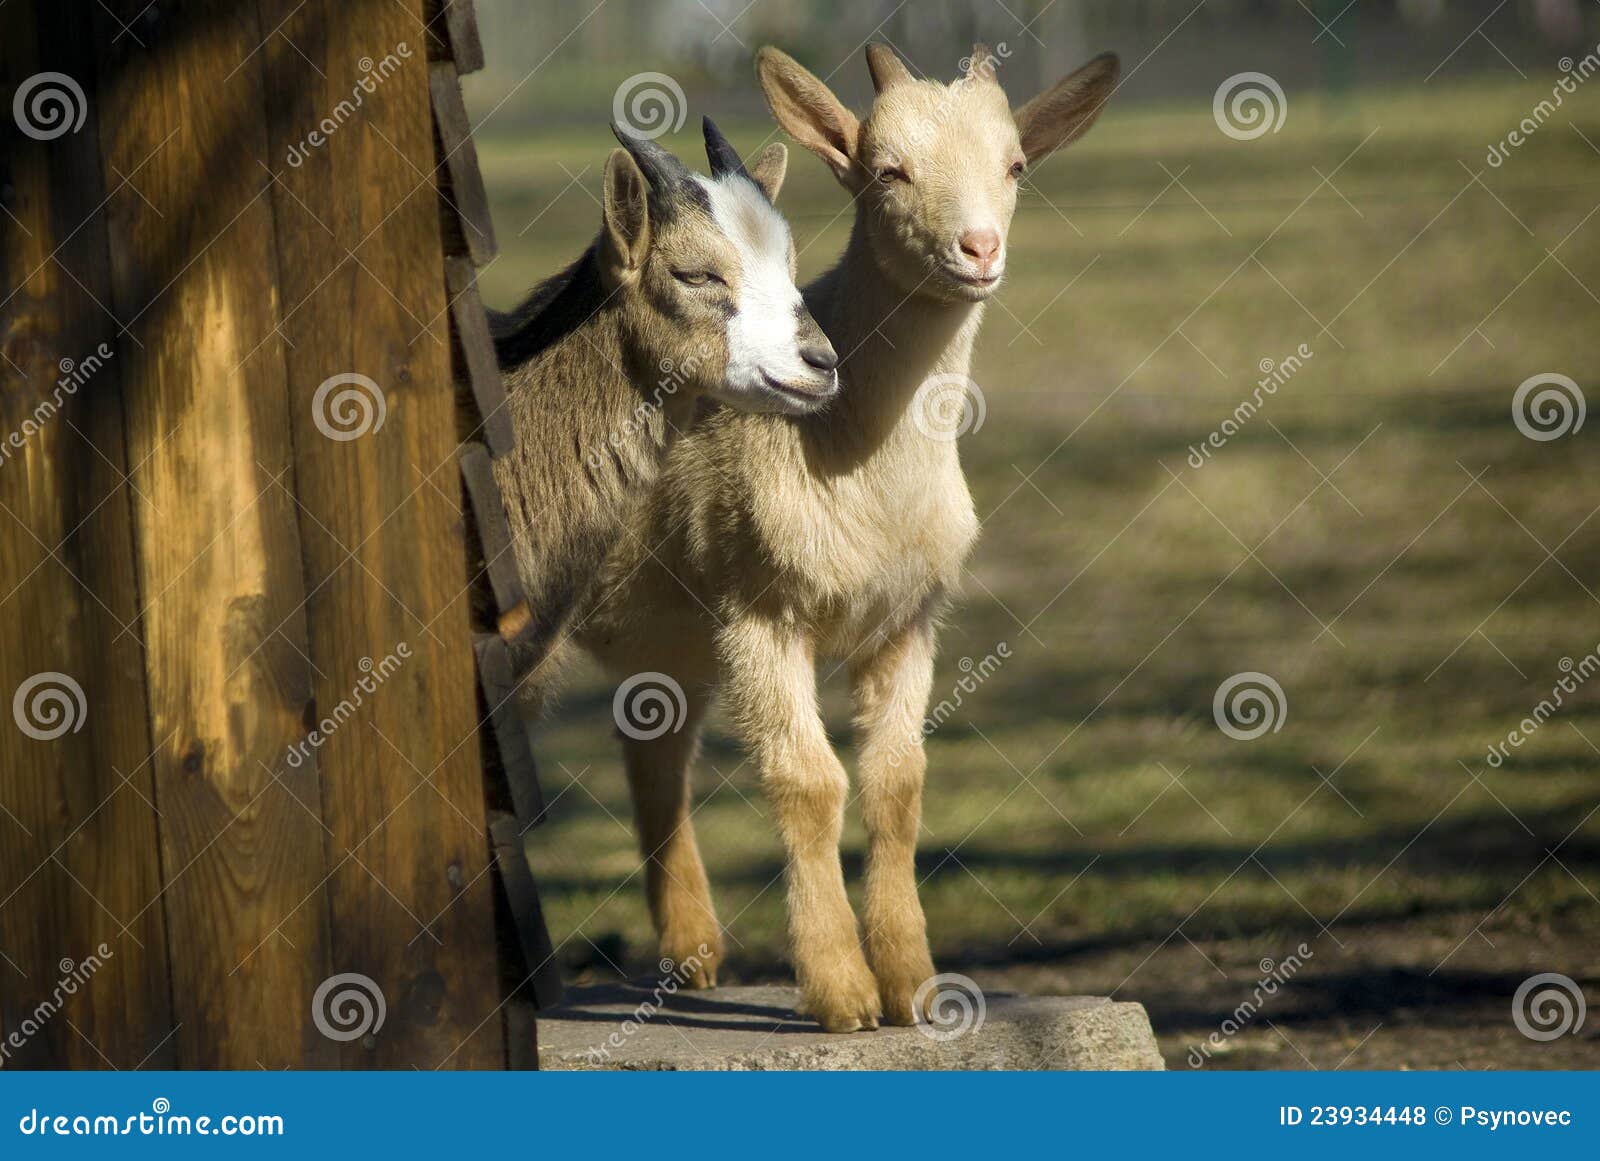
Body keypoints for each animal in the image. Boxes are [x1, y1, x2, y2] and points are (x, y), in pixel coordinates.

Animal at [578, 45, 1119, 1029]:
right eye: (886, 170)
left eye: (1017, 166)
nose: (978, 249)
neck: (856, 452)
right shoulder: (758, 608)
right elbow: (809, 780)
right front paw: (842, 990)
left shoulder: (909, 620)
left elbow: (896, 782)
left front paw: (913, 984)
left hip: (667, 632)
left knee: (655, 751)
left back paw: (692, 950)